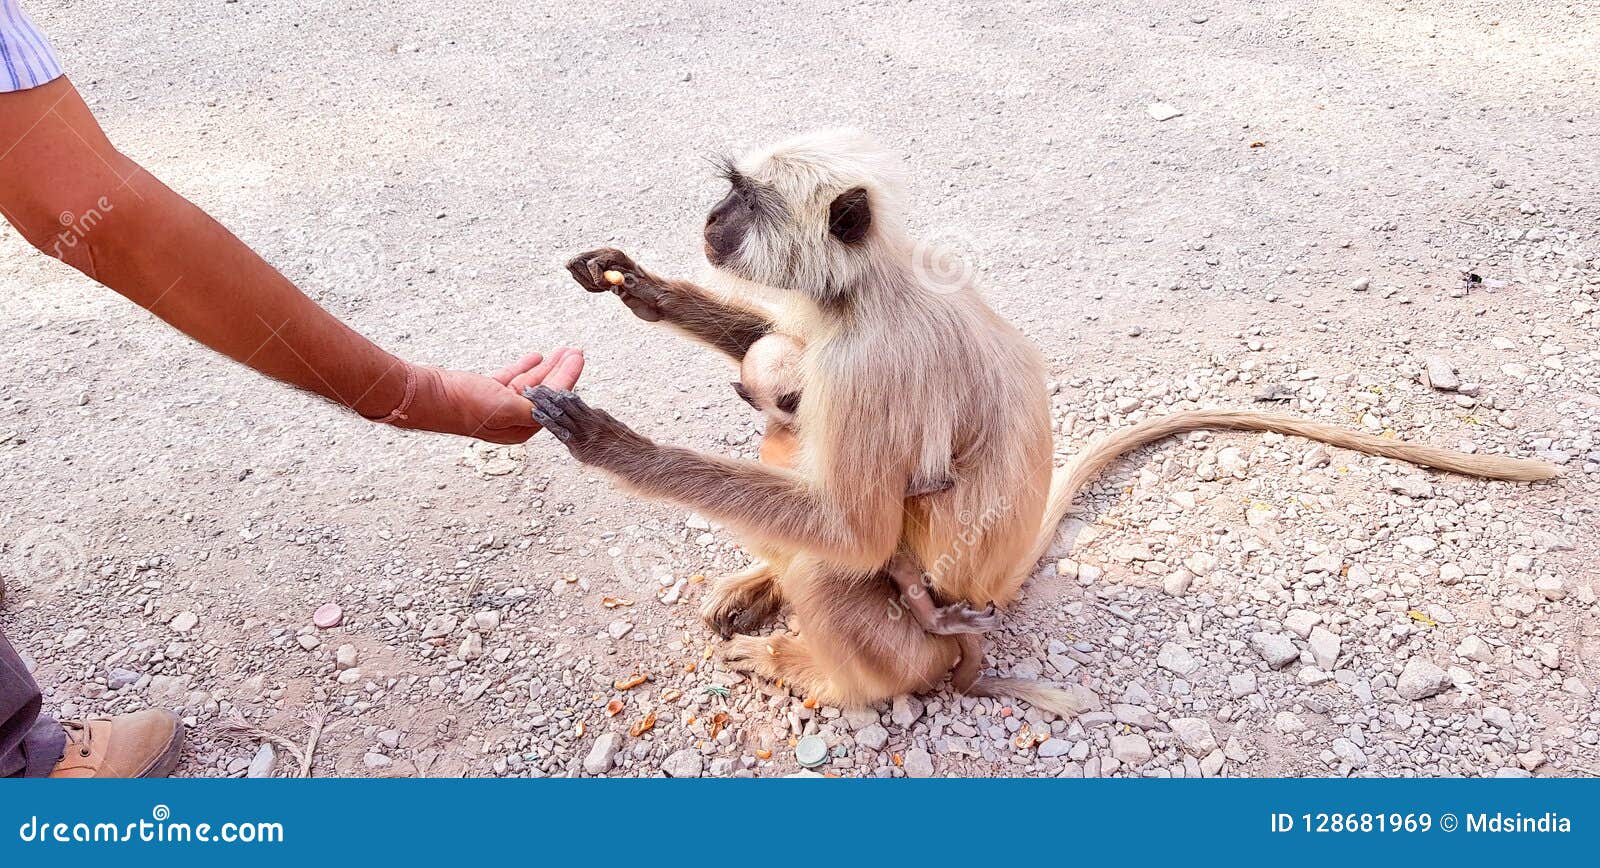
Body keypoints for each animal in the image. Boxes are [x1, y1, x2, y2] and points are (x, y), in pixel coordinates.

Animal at [533, 129, 1558, 718]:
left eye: (747, 201)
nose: (714, 218)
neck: (871, 285)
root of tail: (992, 587)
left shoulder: (868, 364)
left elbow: (856, 527)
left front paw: (617, 446)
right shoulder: (824, 328)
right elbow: (774, 346)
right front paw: (640, 286)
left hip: (924, 625)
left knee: (838, 564)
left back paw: (832, 674)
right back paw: (759, 582)